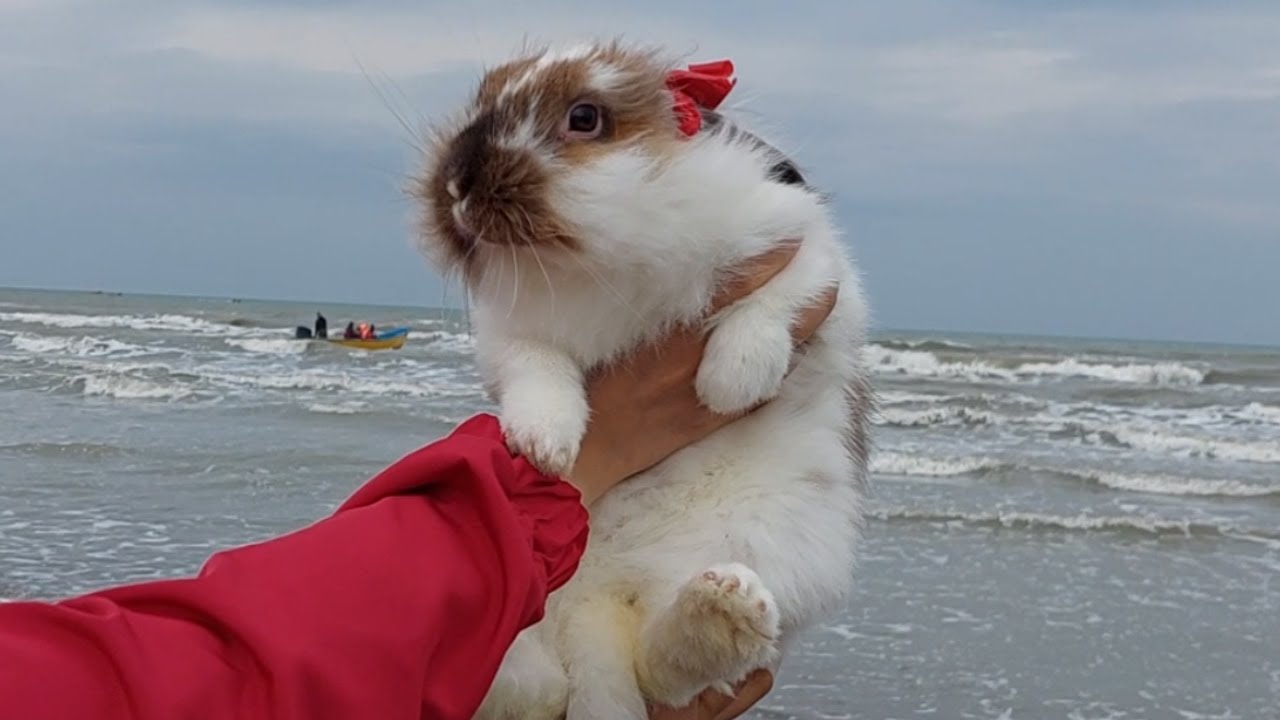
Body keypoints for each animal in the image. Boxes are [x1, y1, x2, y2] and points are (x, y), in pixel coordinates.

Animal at [412, 40, 874, 720]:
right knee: (539, 687)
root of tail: (595, 606)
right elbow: (538, 371)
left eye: (584, 117)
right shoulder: (512, 334)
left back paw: (722, 607)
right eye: (478, 103)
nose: (457, 185)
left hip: (780, 546)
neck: (592, 267)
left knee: (665, 669)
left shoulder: (809, 260)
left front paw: (732, 381)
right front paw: (543, 444)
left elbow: (777, 305)